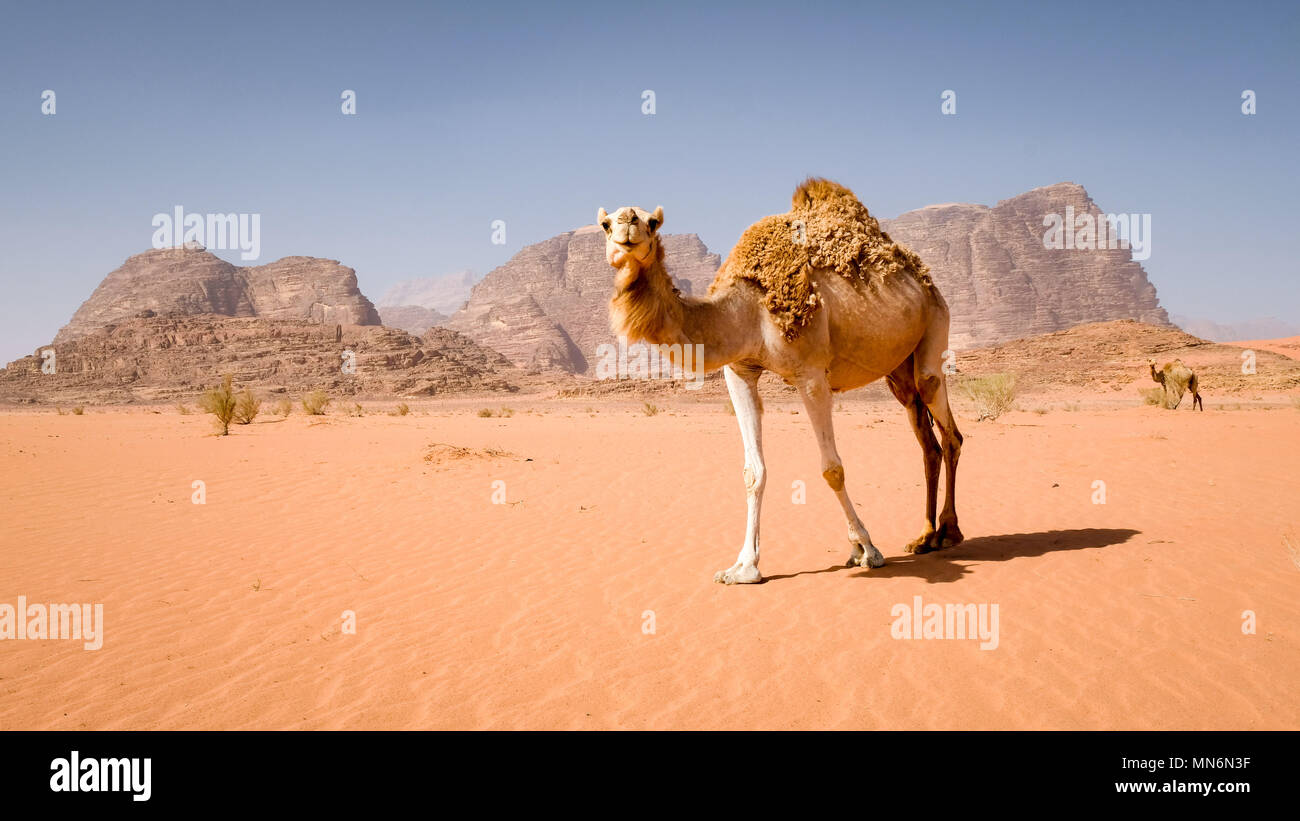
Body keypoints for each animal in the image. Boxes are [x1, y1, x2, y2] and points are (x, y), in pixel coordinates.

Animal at [597, 178, 963, 584]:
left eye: (652, 222)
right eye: (606, 225)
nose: (627, 224)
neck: (746, 310)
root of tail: (922, 276)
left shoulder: (811, 374)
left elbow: (832, 468)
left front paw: (868, 549)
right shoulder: (739, 371)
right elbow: (752, 471)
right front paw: (744, 567)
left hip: (935, 322)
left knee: (946, 425)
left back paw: (949, 532)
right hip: (897, 370)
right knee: (926, 436)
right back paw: (925, 537)